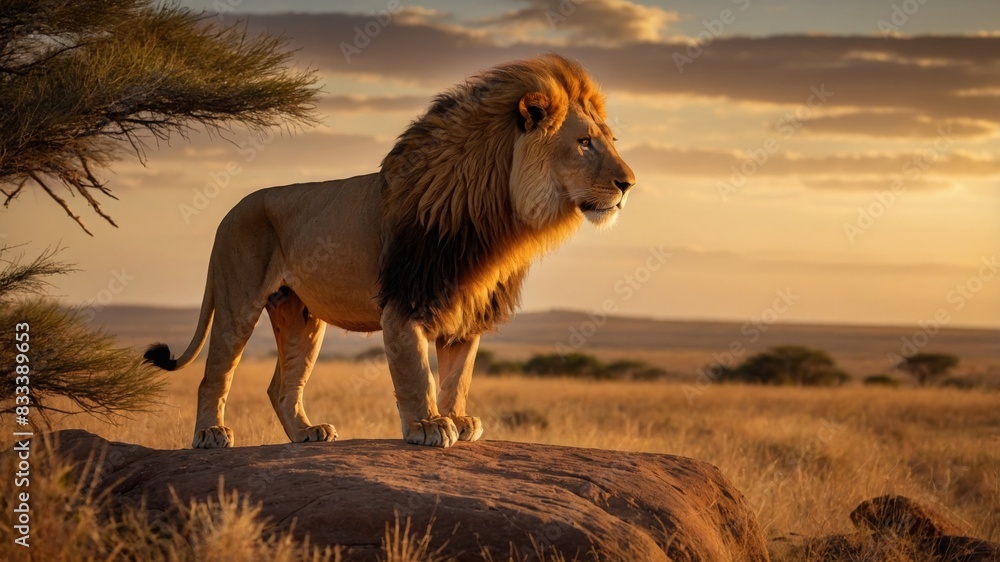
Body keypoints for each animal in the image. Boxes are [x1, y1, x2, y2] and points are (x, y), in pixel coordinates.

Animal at [144, 54, 635, 449]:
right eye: (584, 142)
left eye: (610, 140)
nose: (628, 183)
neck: (500, 218)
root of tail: (230, 212)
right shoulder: (406, 299)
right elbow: (416, 372)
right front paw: (428, 426)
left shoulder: (467, 308)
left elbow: (458, 376)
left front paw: (458, 419)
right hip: (238, 300)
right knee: (214, 374)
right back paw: (210, 435)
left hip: (301, 316)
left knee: (281, 387)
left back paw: (307, 433)